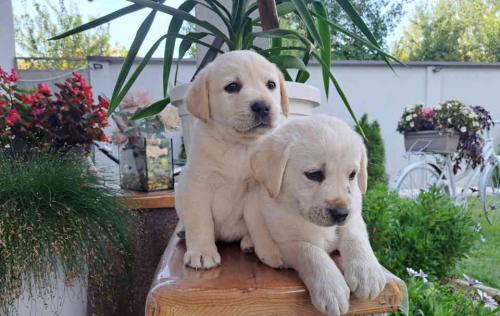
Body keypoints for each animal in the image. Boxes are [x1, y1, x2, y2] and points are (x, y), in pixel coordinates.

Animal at [178, 50, 290, 270]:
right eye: (232, 86)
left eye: (271, 84)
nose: (262, 106)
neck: (238, 146)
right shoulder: (197, 184)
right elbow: (199, 220)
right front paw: (202, 252)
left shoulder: (255, 189)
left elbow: (258, 222)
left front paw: (269, 250)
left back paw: (249, 241)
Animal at [245, 115, 386, 316]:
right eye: (314, 174)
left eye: (352, 174)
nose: (341, 213)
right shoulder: (286, 242)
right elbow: (310, 251)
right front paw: (331, 287)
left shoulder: (354, 216)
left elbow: (355, 237)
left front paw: (366, 271)